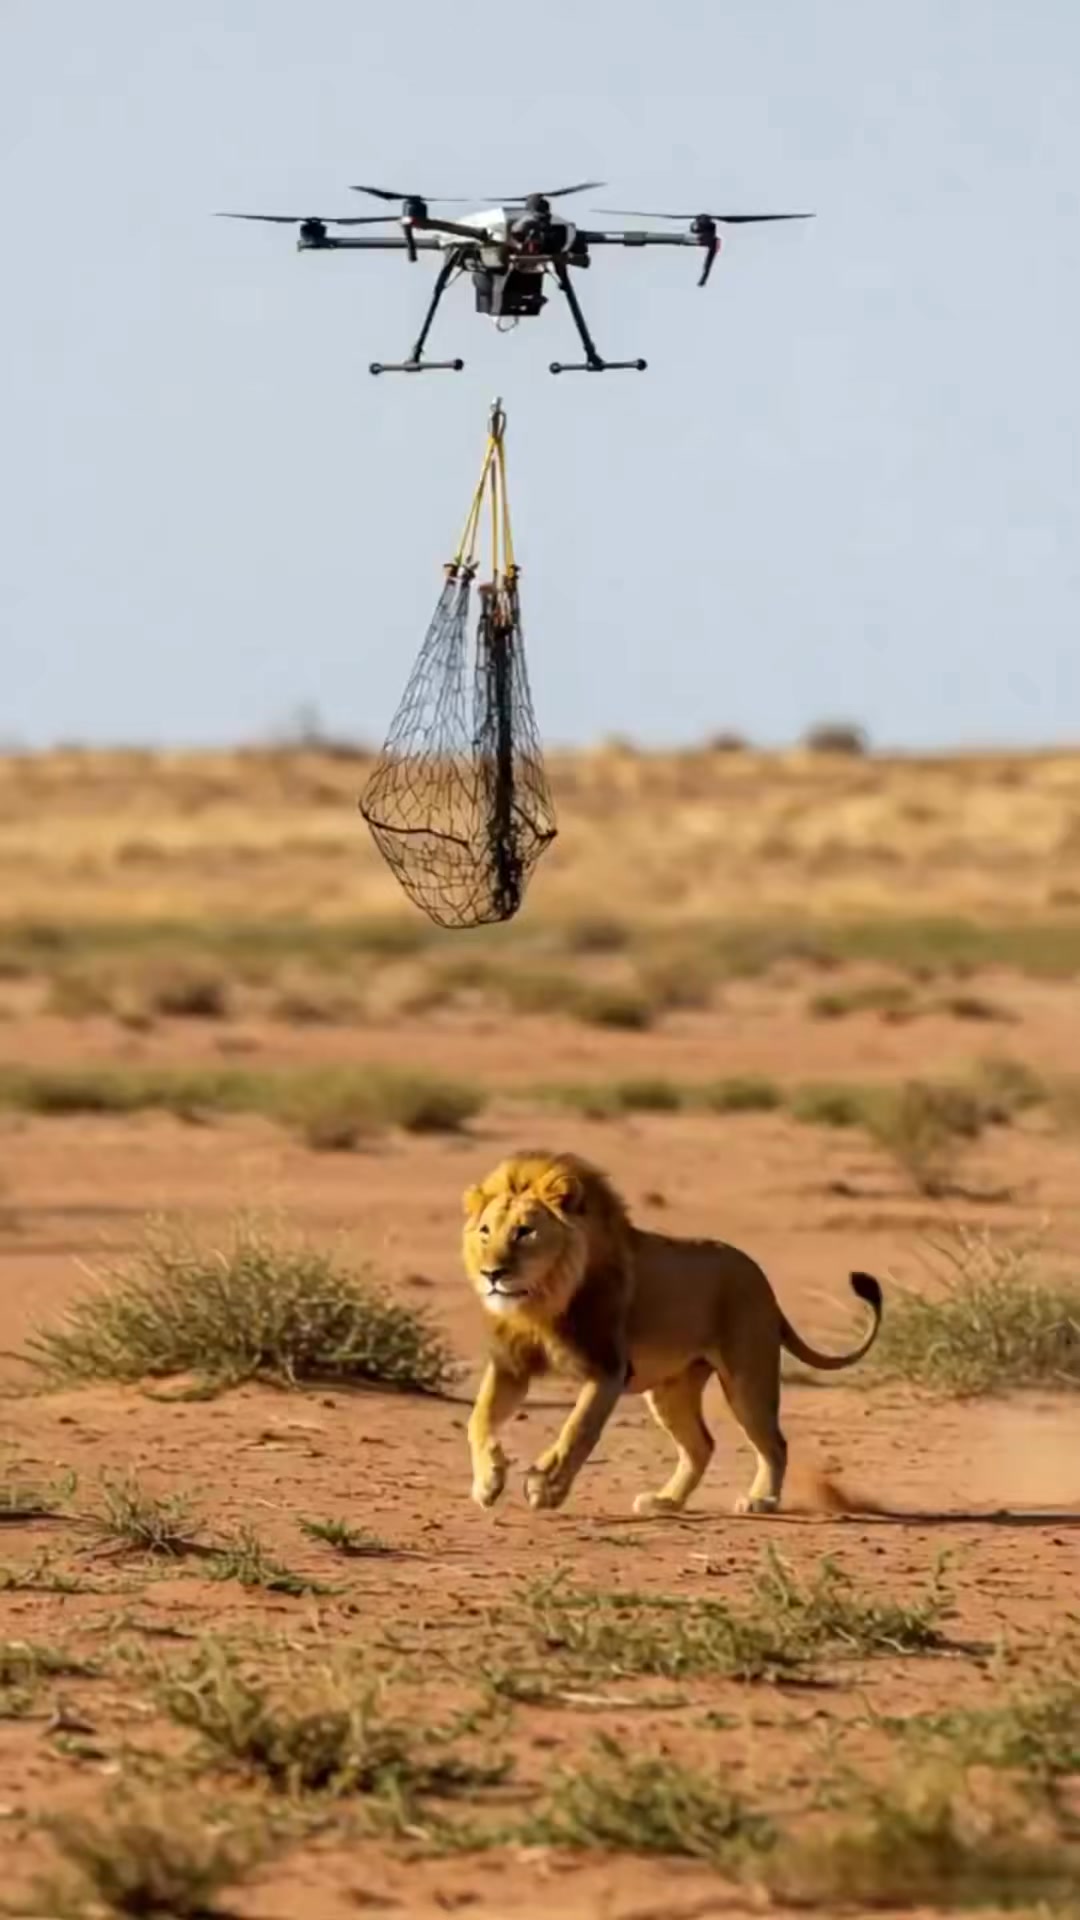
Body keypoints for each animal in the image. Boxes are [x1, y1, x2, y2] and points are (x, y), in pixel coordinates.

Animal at [462, 1149, 882, 1516]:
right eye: (485, 1232)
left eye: (524, 1232)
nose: (491, 1274)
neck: (541, 1304)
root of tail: (762, 1281)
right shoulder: (510, 1366)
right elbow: (478, 1420)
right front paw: (488, 1482)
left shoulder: (608, 1369)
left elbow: (577, 1430)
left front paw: (545, 1488)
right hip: (671, 1389)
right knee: (701, 1446)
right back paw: (666, 1501)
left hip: (747, 1379)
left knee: (774, 1443)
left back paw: (761, 1500)